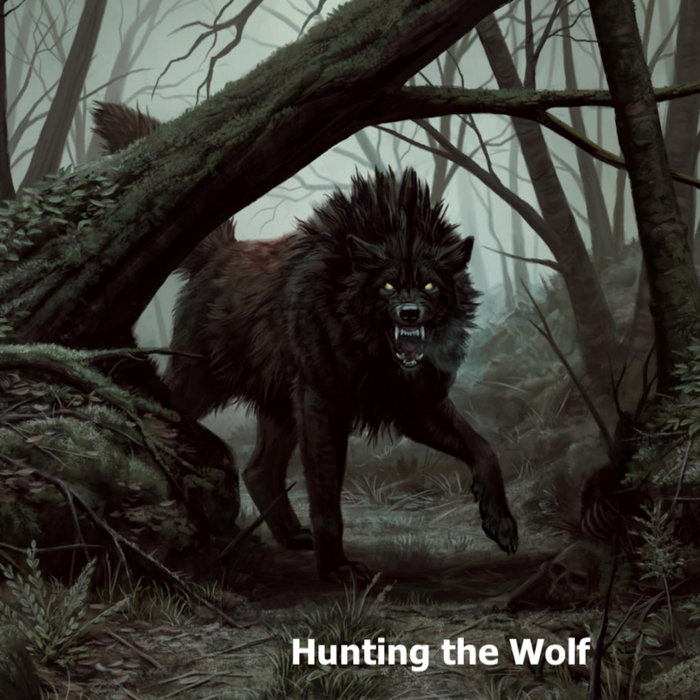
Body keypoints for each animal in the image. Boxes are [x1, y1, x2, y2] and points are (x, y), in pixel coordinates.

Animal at [164, 168, 518, 580]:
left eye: (430, 284)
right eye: (388, 285)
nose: (409, 313)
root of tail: (219, 252)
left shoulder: (417, 406)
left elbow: (483, 448)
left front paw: (501, 525)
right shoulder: (323, 404)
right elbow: (326, 493)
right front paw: (336, 569)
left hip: (282, 406)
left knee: (258, 469)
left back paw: (292, 535)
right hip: (201, 384)